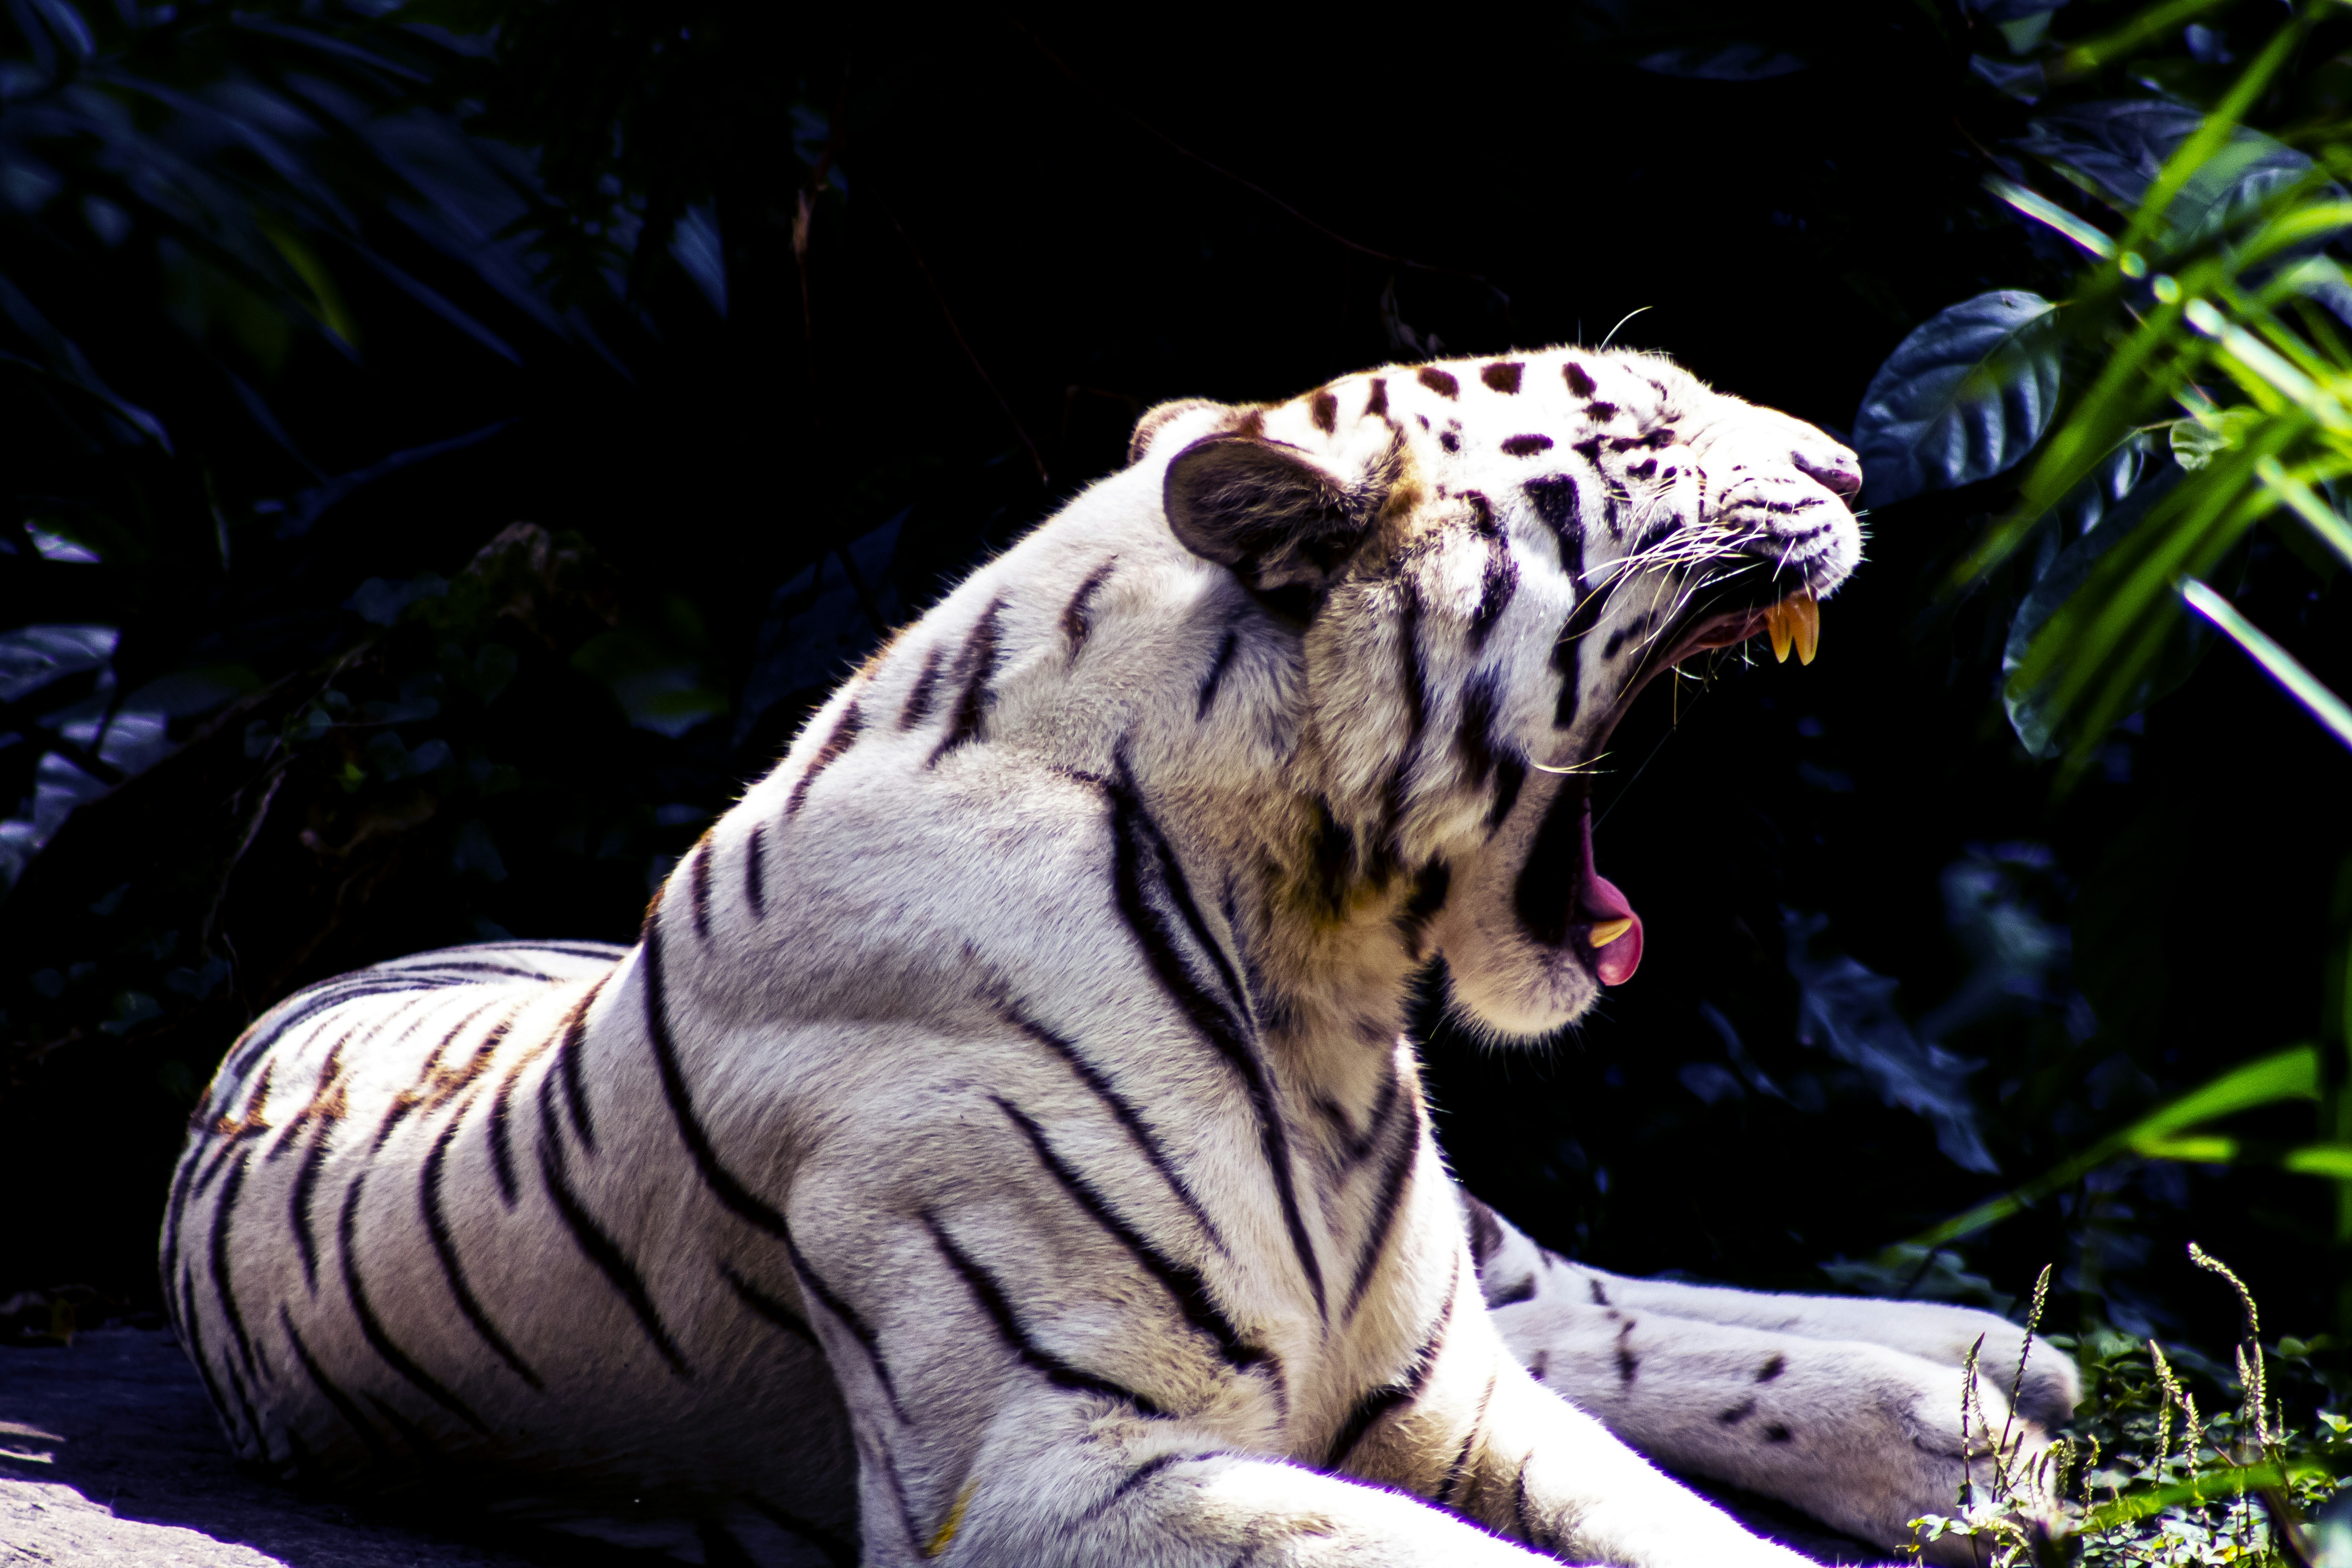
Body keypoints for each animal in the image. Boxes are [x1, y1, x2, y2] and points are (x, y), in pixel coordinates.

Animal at [163, 346, 2074, 1568]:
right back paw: (1984, 1404)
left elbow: (1660, 1512)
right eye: (1652, 433)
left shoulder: (1434, 1379)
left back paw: (1986, 1381)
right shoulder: (1041, 1467)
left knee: (1583, 1302)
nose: (1852, 468)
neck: (1322, 973)